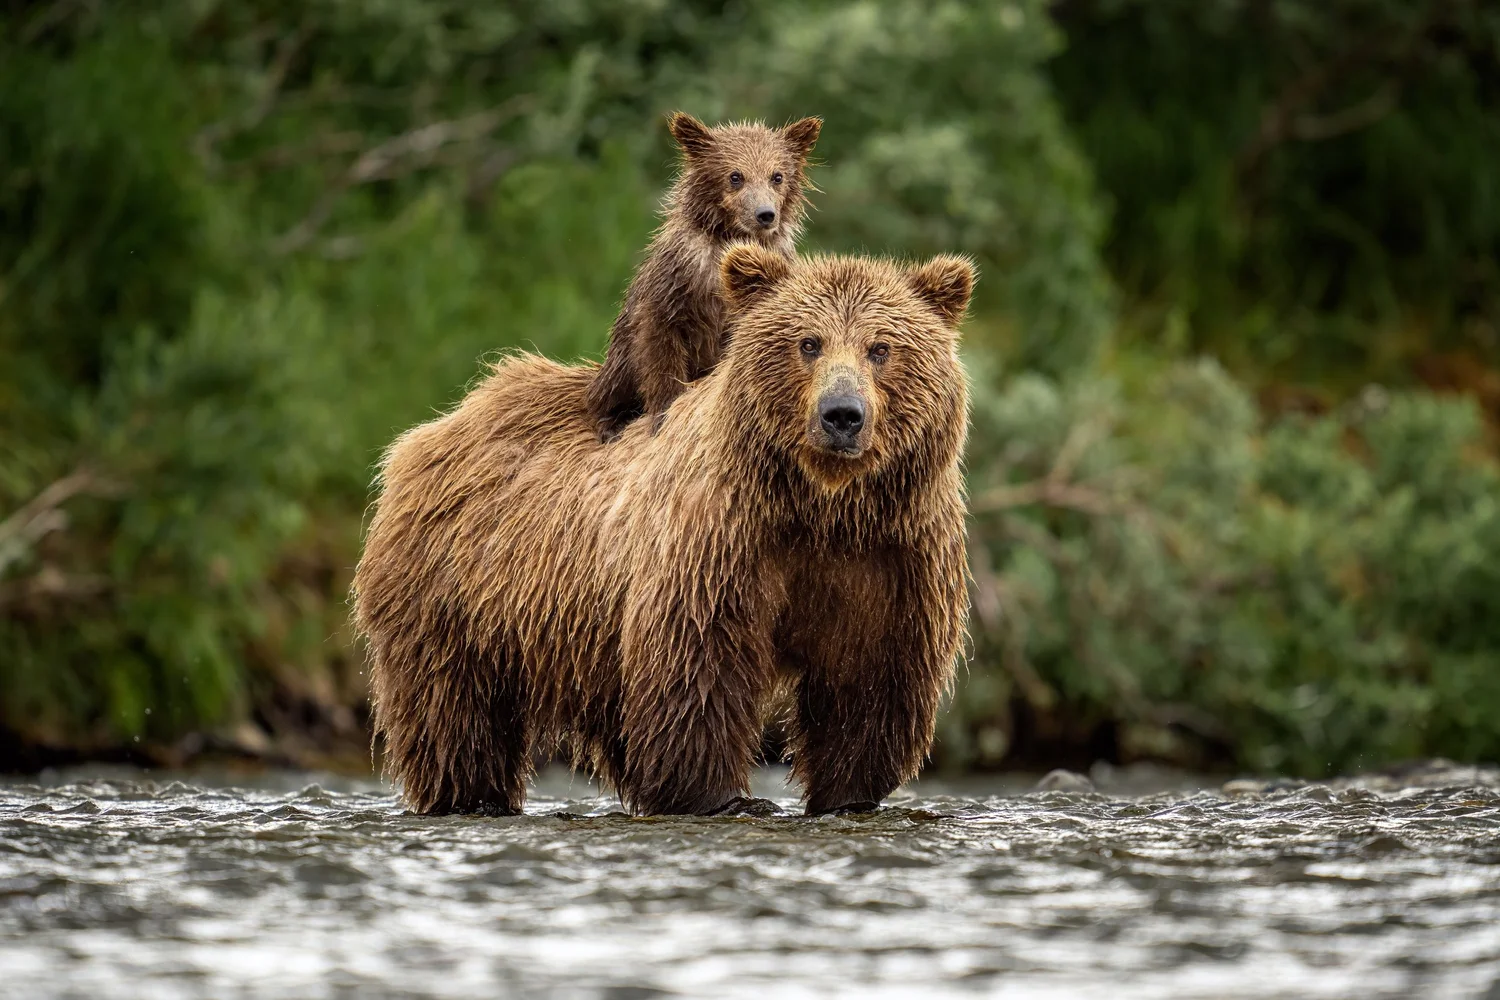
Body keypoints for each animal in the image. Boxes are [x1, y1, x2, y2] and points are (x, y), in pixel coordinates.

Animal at [352, 244, 975, 817]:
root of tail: (436, 427)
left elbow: (868, 684)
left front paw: (847, 794)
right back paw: (470, 796)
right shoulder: (721, 545)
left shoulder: (889, 559)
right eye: (808, 343)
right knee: (455, 714)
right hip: (454, 597)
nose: (841, 414)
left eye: (881, 348)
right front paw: (724, 796)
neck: (821, 508)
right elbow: (699, 669)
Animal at [584, 112, 821, 440]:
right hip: (618, 361)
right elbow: (660, 349)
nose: (765, 214)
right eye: (735, 176)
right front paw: (663, 415)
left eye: (777, 176)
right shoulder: (673, 289)